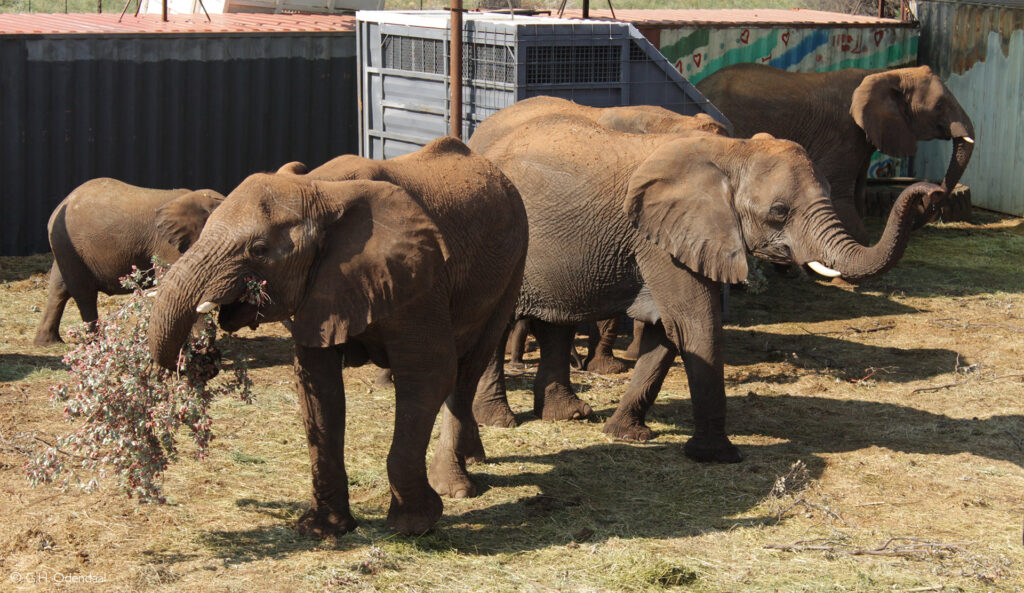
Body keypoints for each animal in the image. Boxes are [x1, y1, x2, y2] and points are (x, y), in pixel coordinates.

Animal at [33, 178, 224, 346]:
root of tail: (62, 204)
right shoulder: (167, 245)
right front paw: (202, 347)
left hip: (65, 247)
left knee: (59, 288)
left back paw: (48, 343)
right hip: (69, 245)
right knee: (84, 293)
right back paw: (96, 344)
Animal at [147, 137, 528, 537]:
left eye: (259, 250)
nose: (204, 360)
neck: (321, 191)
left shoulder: (421, 277)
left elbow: (428, 375)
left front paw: (414, 525)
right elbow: (318, 385)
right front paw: (323, 530)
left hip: (515, 263)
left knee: (468, 368)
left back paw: (454, 487)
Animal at [468, 96, 943, 462]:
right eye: (779, 212)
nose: (931, 193)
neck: (732, 152)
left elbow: (668, 332)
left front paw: (626, 434)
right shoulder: (658, 237)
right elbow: (695, 324)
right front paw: (718, 456)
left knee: (555, 322)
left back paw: (569, 415)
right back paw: (500, 421)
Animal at [696, 63, 974, 244]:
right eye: (939, 106)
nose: (931, 195)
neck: (885, 74)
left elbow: (858, 192)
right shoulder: (844, 131)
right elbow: (840, 193)